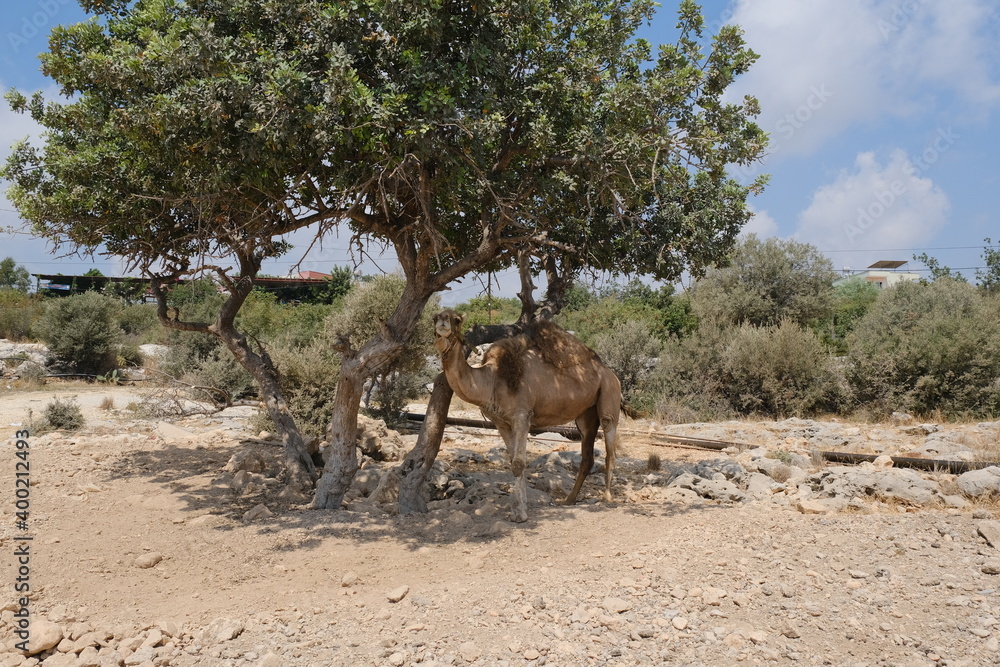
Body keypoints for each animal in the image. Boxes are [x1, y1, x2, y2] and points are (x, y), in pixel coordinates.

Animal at [433, 309, 632, 522]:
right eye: (435, 317)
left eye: (457, 320)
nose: (442, 322)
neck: (493, 379)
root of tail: (610, 373)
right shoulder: (501, 422)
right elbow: (513, 461)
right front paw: (518, 509)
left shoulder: (522, 415)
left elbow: (519, 463)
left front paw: (521, 514)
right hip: (585, 415)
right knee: (587, 455)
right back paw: (569, 499)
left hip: (609, 395)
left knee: (610, 446)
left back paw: (607, 497)